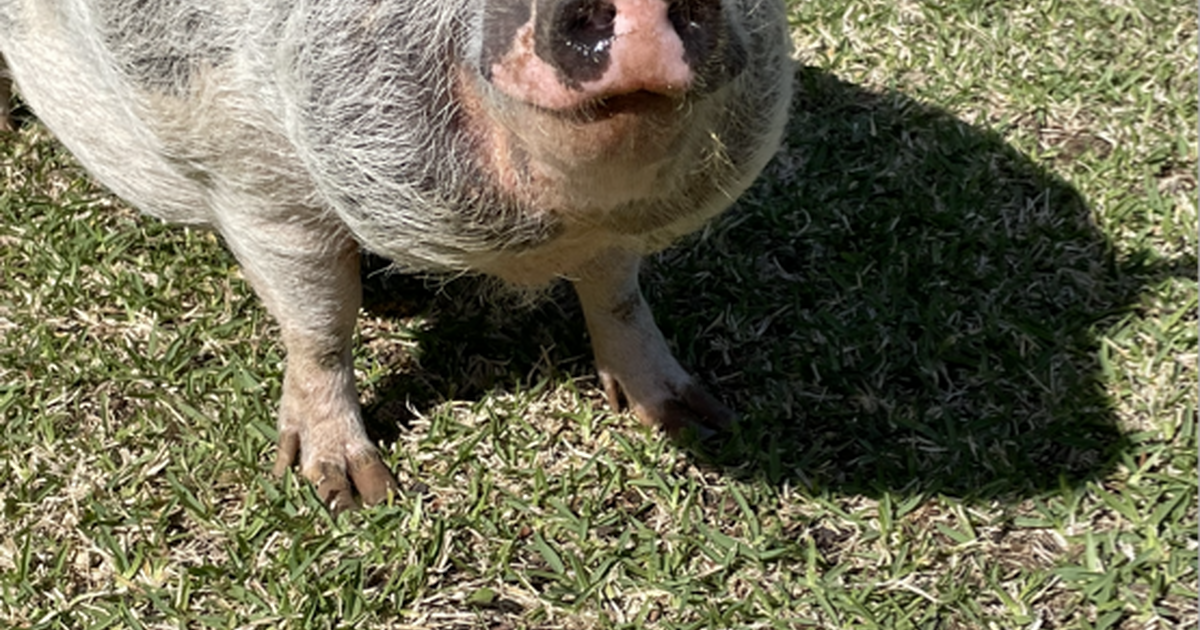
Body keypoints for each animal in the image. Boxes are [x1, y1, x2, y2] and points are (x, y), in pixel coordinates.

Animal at [0, 0, 792, 511]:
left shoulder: (615, 235)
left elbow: (618, 295)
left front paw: (700, 420)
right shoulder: (252, 182)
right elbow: (321, 325)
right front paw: (354, 496)